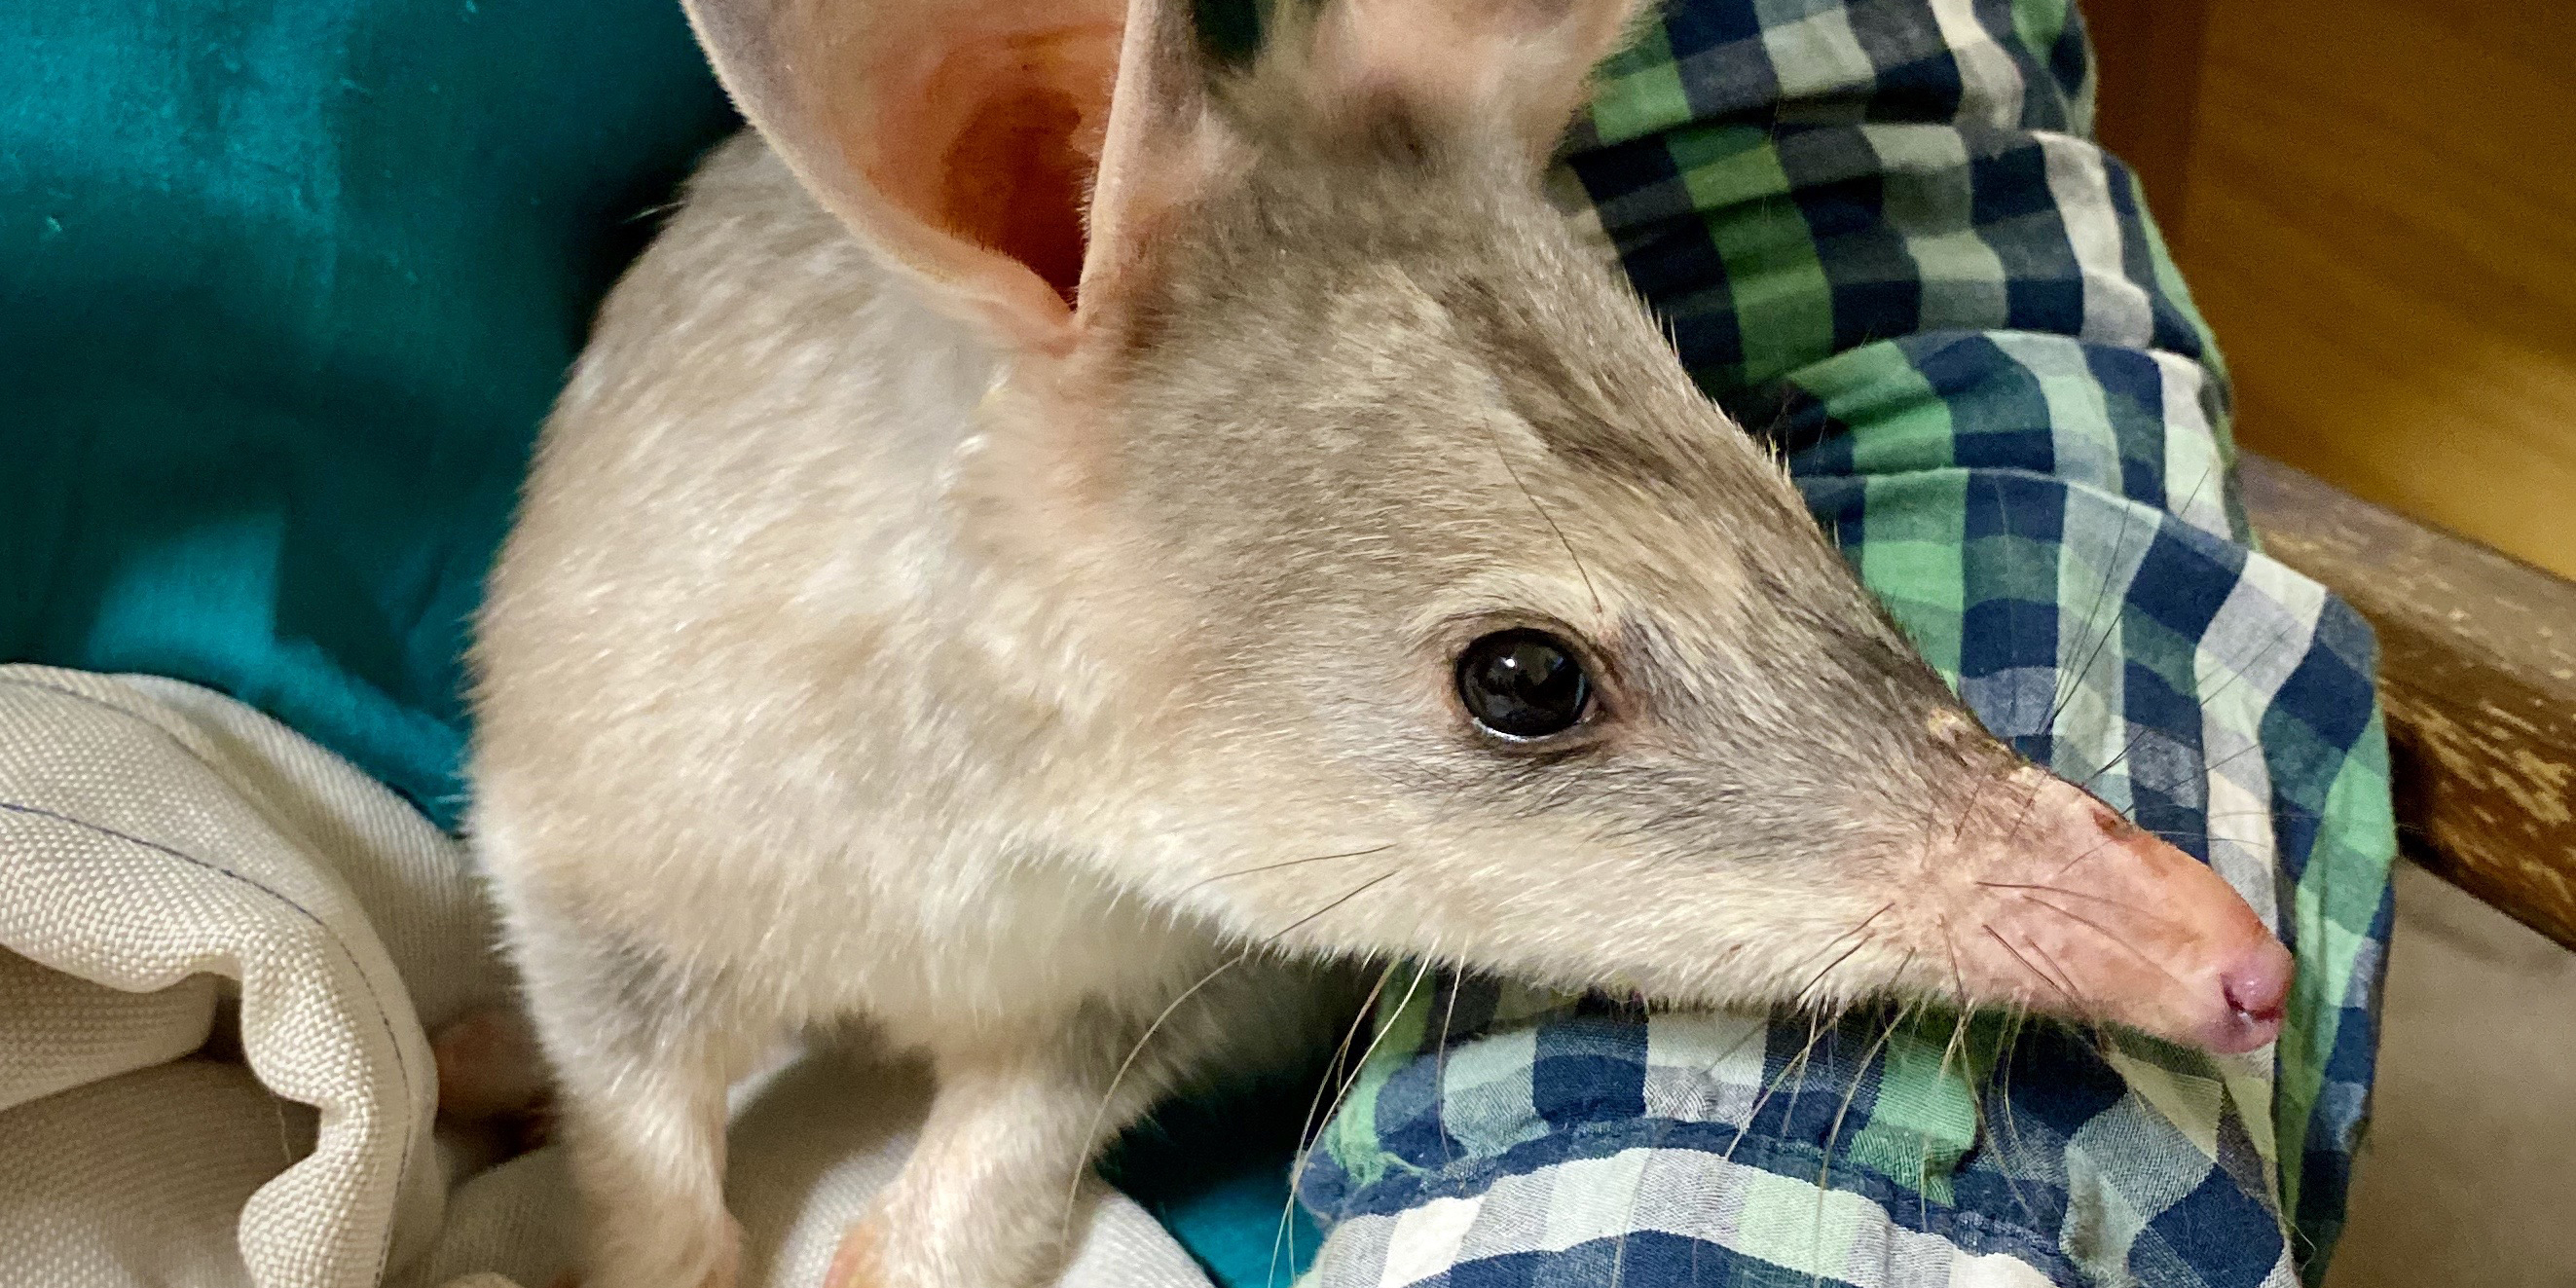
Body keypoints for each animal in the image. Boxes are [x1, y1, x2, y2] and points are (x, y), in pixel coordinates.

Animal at [465, 0, 2295, 1284]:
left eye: (1782, 490)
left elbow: (1020, 1124)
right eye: (1523, 678)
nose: (2246, 969)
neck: (1003, 819)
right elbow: (638, 1133)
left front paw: (894, 1248)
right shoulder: (590, 852)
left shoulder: (1165, 974)